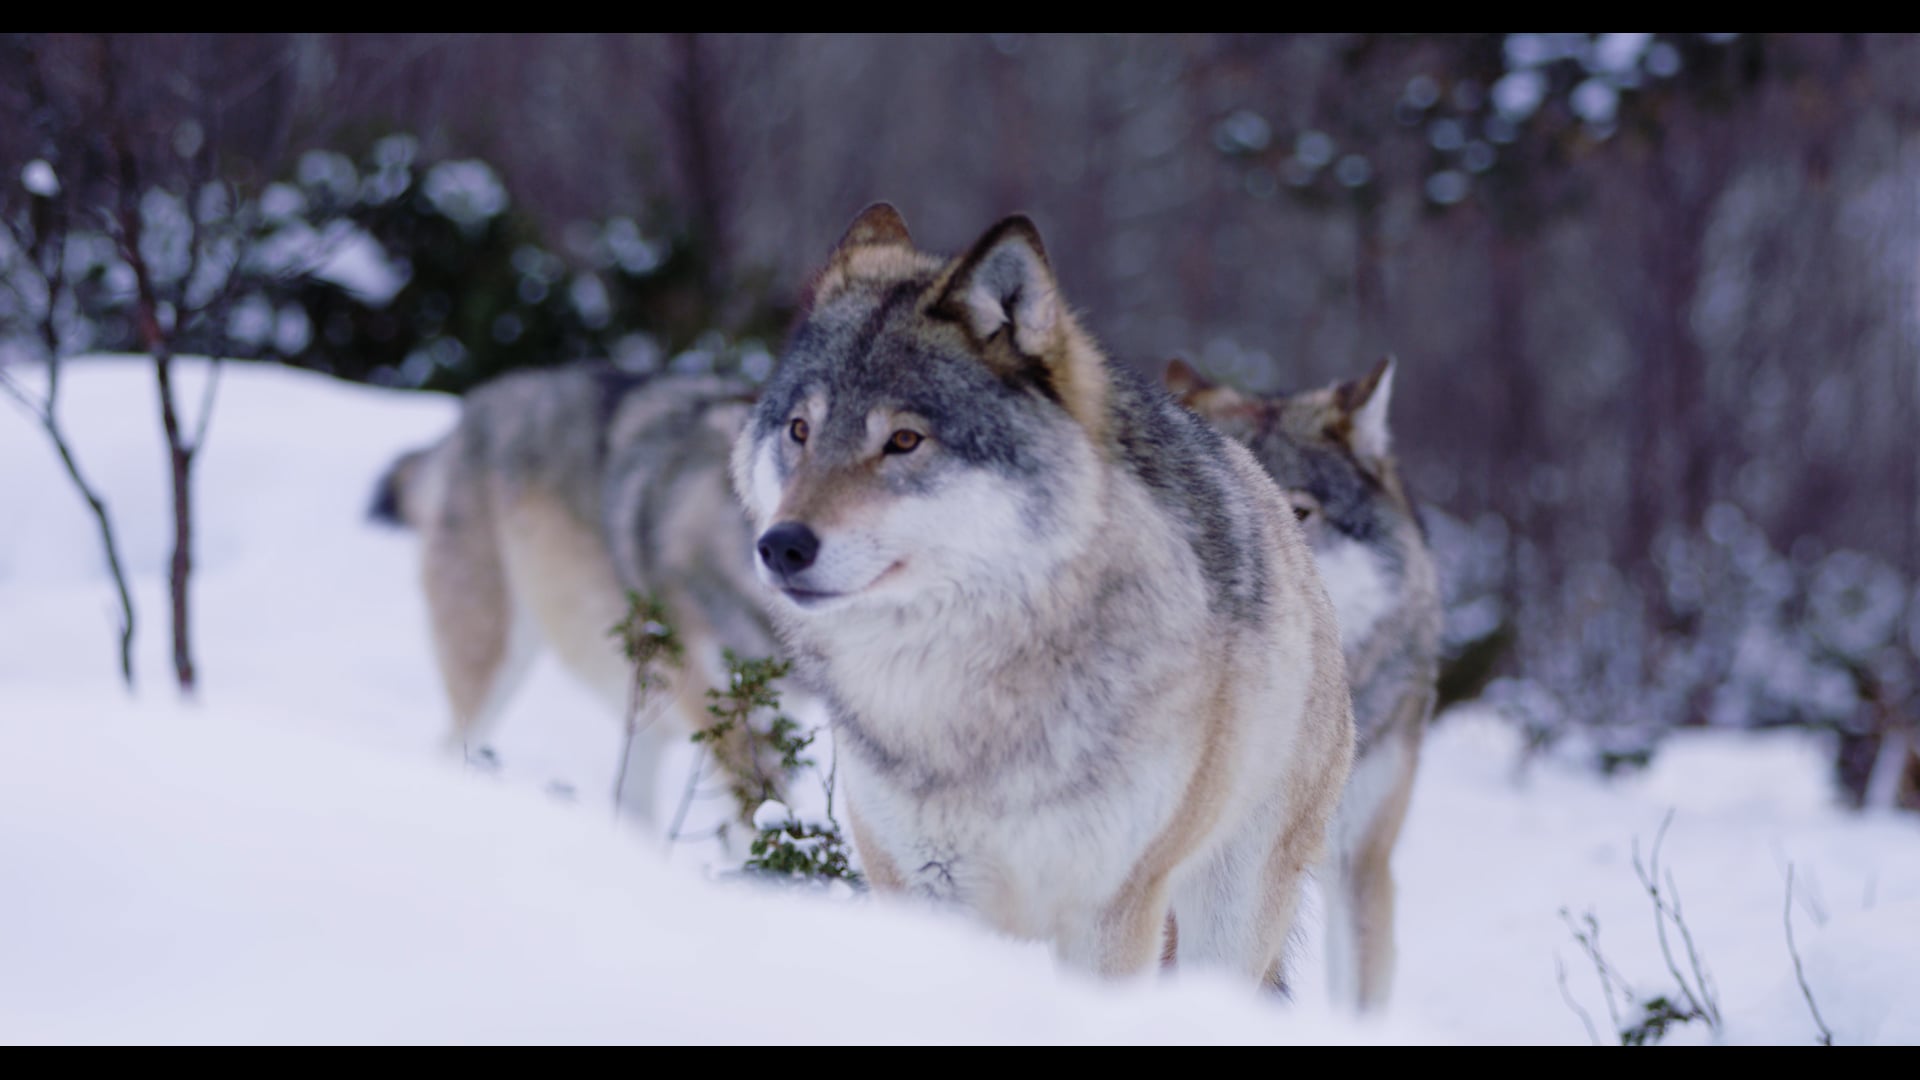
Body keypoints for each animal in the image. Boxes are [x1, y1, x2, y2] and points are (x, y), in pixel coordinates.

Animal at [730, 204, 1355, 986]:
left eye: (904, 440)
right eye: (800, 431)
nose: (781, 546)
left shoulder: (1111, 906)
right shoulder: (920, 883)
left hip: (1224, 912)